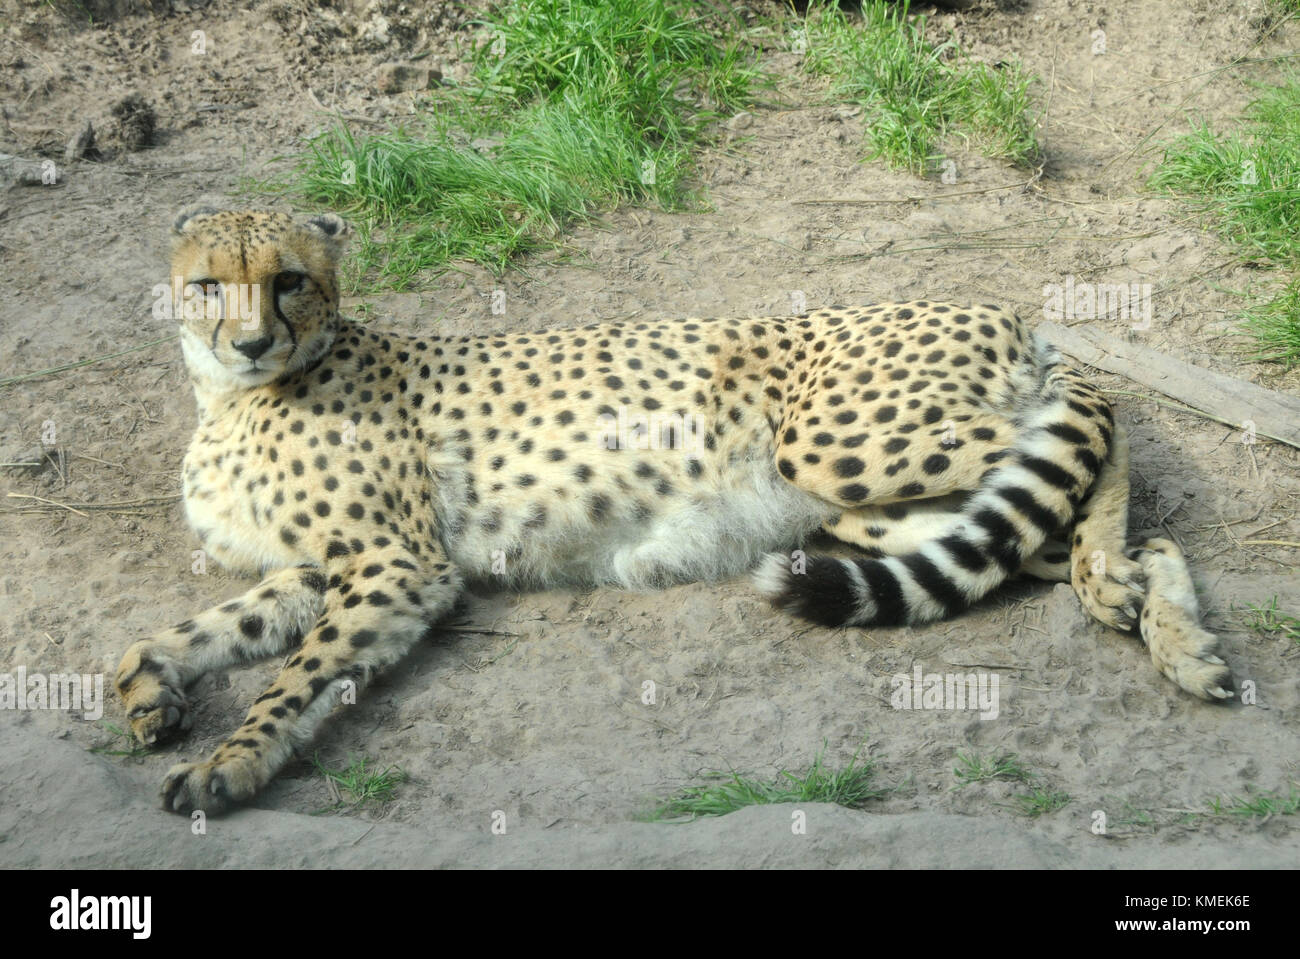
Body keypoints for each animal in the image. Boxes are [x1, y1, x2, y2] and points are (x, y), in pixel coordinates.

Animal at [115, 205, 1234, 815]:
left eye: (288, 281)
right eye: (209, 284)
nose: (250, 341)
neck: (237, 396)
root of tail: (1005, 310)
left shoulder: (396, 565)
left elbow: (292, 677)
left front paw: (230, 764)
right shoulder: (312, 569)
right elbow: (185, 634)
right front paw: (150, 695)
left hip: (839, 446)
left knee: (1098, 416)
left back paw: (1124, 585)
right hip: (894, 516)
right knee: (1097, 514)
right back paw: (1169, 629)